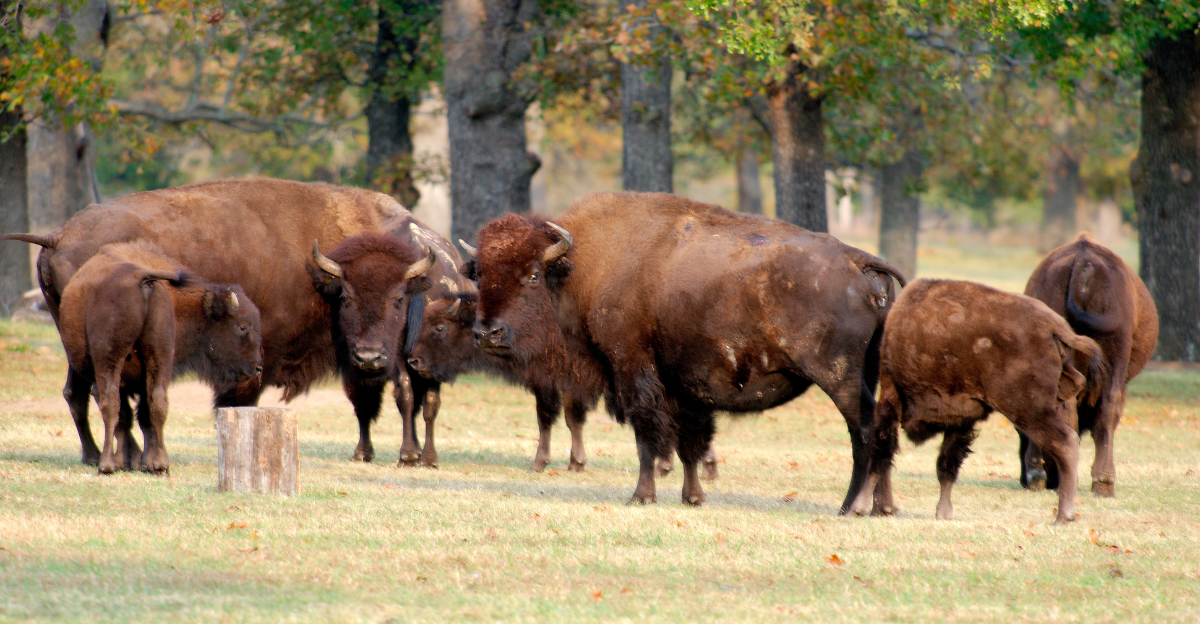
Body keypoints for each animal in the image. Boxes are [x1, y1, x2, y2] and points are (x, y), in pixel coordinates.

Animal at [58, 242, 262, 475]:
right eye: (243, 326)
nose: (257, 367)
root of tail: (144, 280)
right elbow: (140, 416)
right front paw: (142, 462)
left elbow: (129, 416)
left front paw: (131, 462)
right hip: (157, 356)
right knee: (153, 403)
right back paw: (157, 465)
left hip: (111, 360)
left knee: (108, 402)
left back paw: (106, 464)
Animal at [468, 192, 904, 509]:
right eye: (483, 274)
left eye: (533, 276)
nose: (487, 332)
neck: (584, 268)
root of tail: (859, 261)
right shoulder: (683, 385)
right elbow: (689, 441)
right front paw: (692, 497)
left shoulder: (632, 368)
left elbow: (648, 432)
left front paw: (641, 496)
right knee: (883, 430)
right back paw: (882, 507)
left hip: (840, 377)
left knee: (865, 432)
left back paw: (852, 505)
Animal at [849, 279, 1105, 523]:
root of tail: (1055, 327)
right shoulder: (960, 420)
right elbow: (946, 465)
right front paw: (944, 513)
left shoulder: (889, 398)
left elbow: (880, 455)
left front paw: (857, 509)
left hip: (1028, 410)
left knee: (1065, 442)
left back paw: (1063, 516)